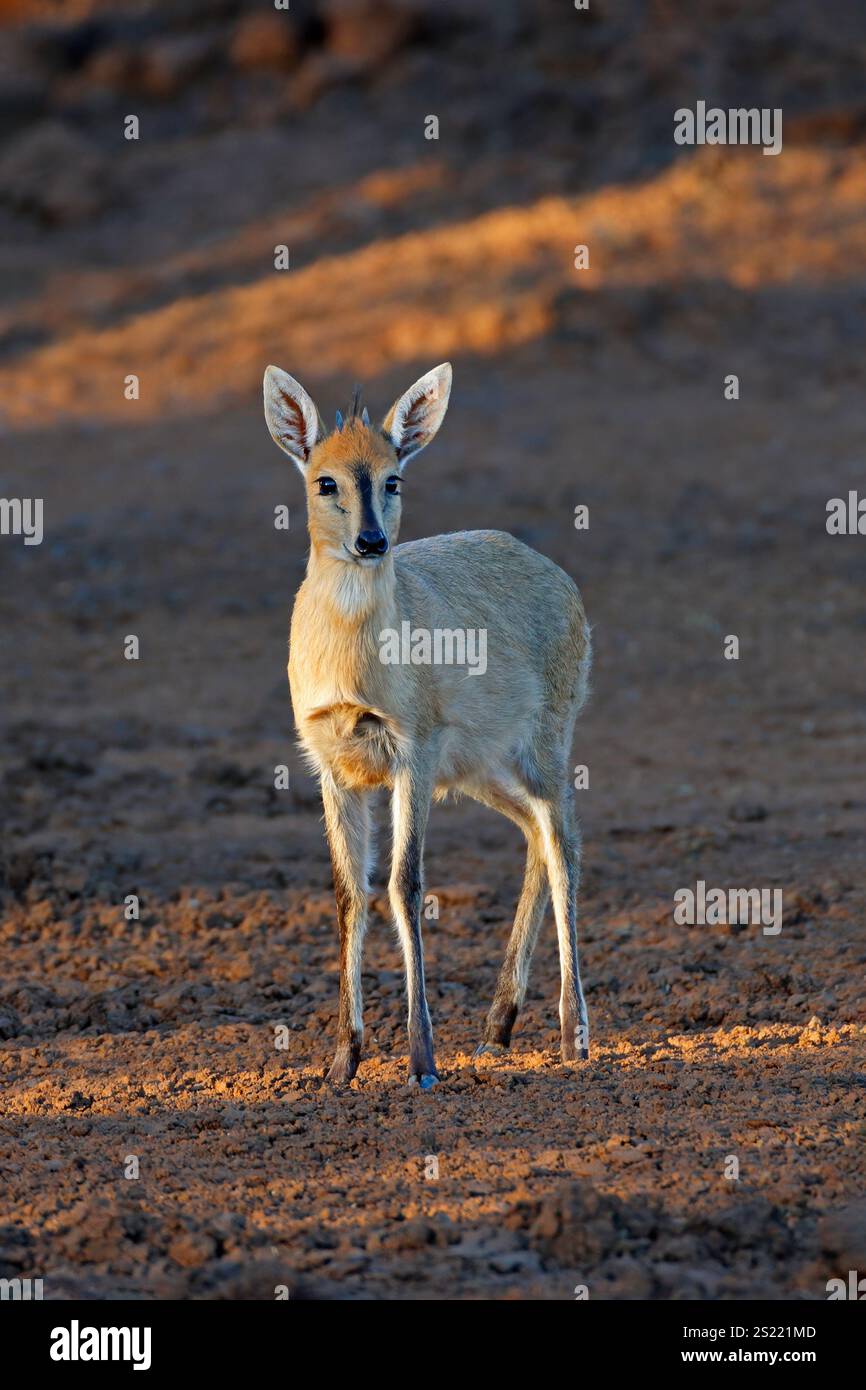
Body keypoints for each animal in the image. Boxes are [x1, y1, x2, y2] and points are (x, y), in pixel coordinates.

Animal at [263, 362, 591, 1089]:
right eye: (325, 481)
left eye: (394, 479)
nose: (371, 542)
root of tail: (557, 576)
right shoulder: (332, 765)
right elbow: (349, 893)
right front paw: (342, 1062)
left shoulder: (412, 752)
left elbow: (404, 885)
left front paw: (421, 1061)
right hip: (479, 769)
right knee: (535, 837)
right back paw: (497, 1028)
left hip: (543, 747)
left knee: (565, 845)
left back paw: (573, 1034)